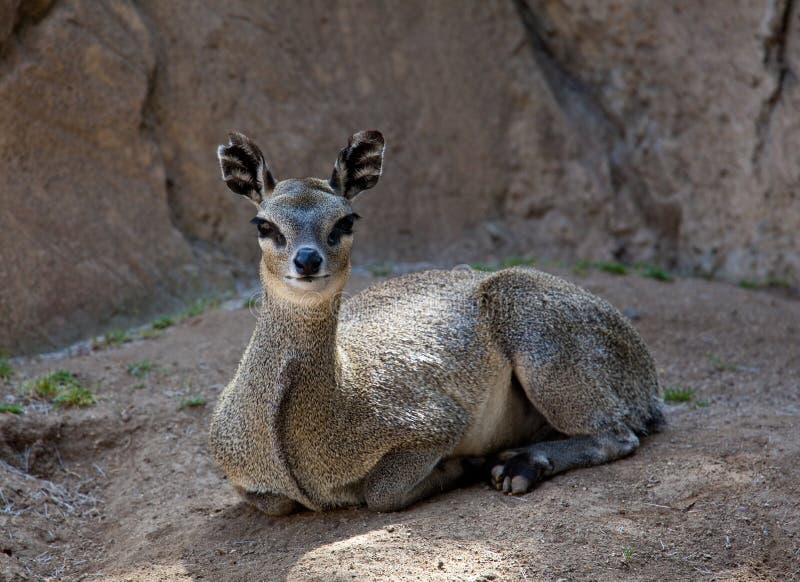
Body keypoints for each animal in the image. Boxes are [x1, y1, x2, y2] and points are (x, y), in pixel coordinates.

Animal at [208, 130, 664, 514]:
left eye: (346, 220)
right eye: (264, 224)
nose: (307, 260)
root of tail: (650, 384)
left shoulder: (436, 424)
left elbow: (381, 493)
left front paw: (467, 465)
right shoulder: (244, 479)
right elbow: (275, 503)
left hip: (544, 352)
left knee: (618, 434)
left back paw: (516, 467)